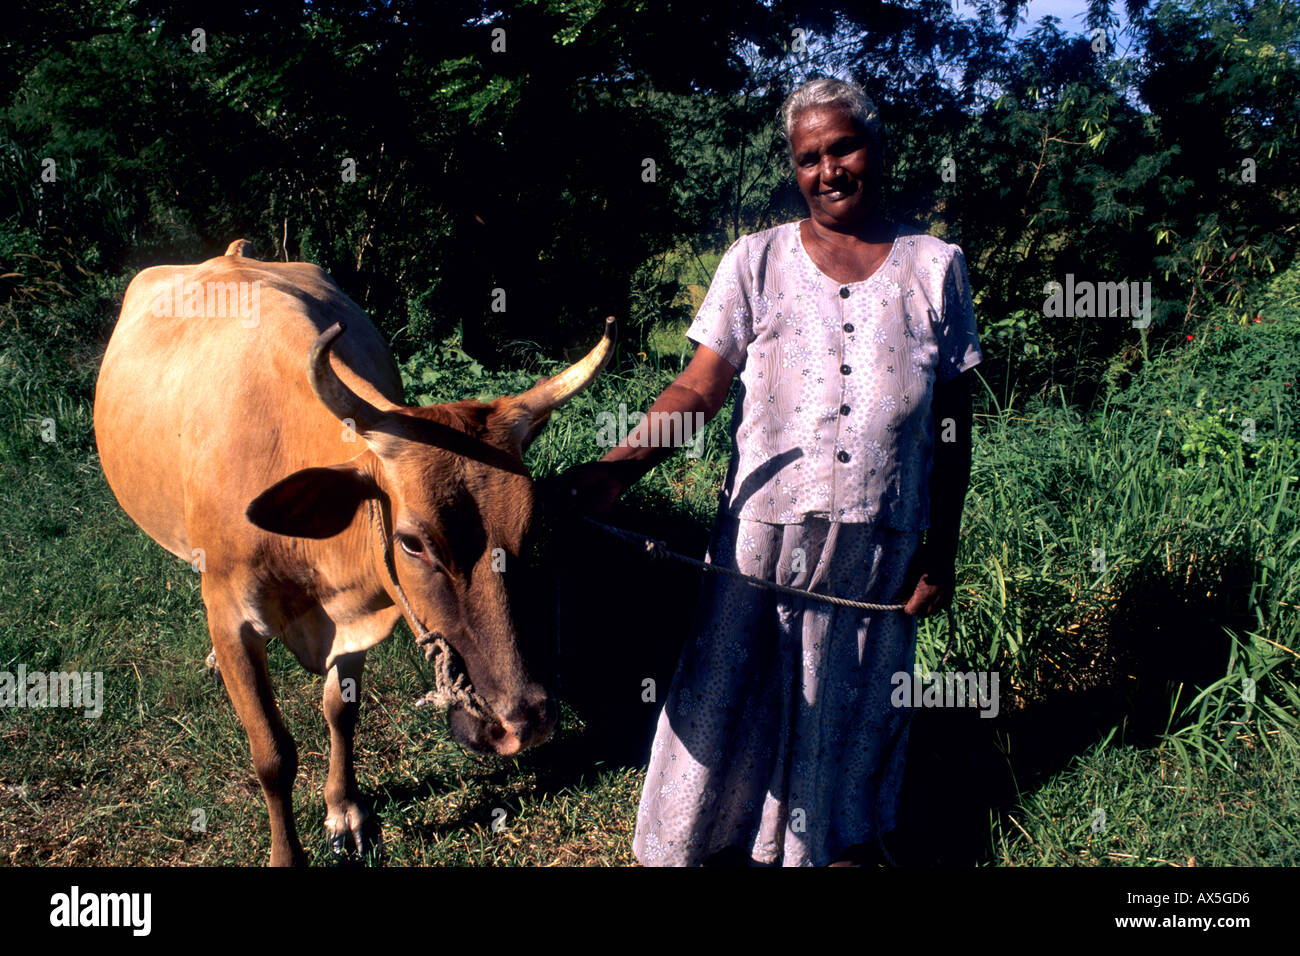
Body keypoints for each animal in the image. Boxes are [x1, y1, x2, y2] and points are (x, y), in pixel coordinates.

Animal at [93, 239, 614, 865]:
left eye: (532, 527)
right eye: (412, 542)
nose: (525, 721)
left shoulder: (361, 612)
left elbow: (341, 712)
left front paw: (345, 813)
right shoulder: (231, 610)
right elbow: (272, 754)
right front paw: (286, 853)